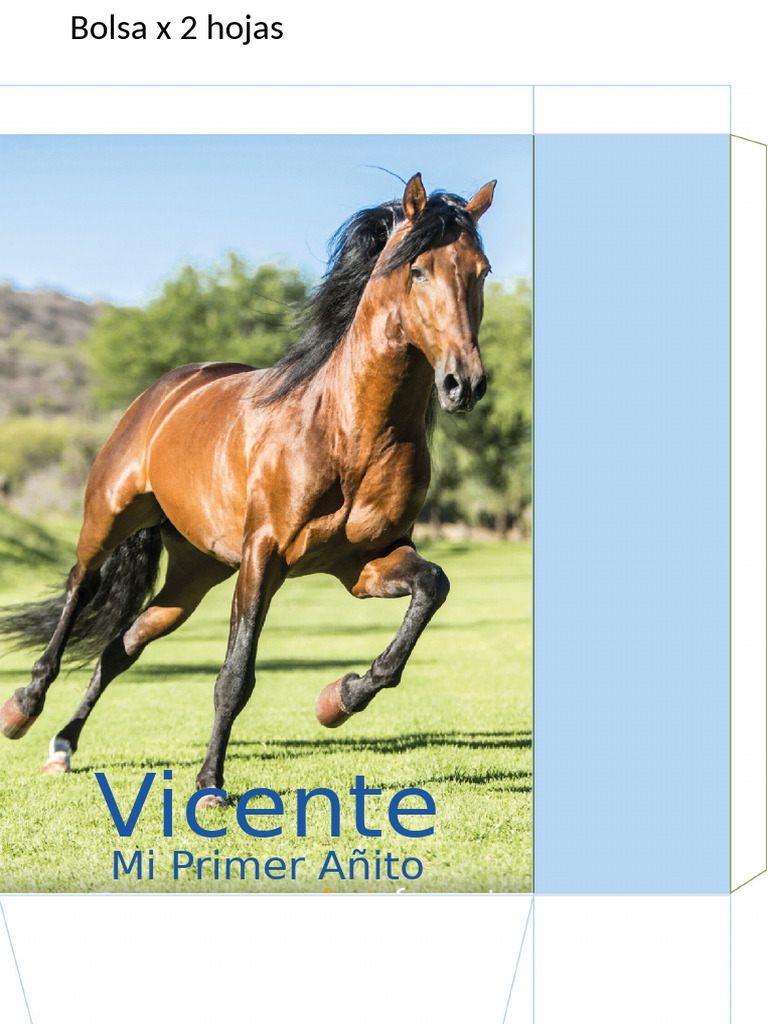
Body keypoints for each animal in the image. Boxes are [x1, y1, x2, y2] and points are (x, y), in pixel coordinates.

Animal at [0, 173, 495, 805]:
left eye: (481, 270)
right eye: (419, 269)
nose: (464, 383)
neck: (346, 431)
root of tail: (169, 388)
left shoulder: (365, 563)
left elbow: (431, 588)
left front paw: (338, 699)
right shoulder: (265, 556)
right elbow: (235, 676)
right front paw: (210, 785)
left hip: (194, 574)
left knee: (120, 648)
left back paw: (64, 747)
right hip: (108, 520)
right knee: (77, 593)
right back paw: (23, 709)